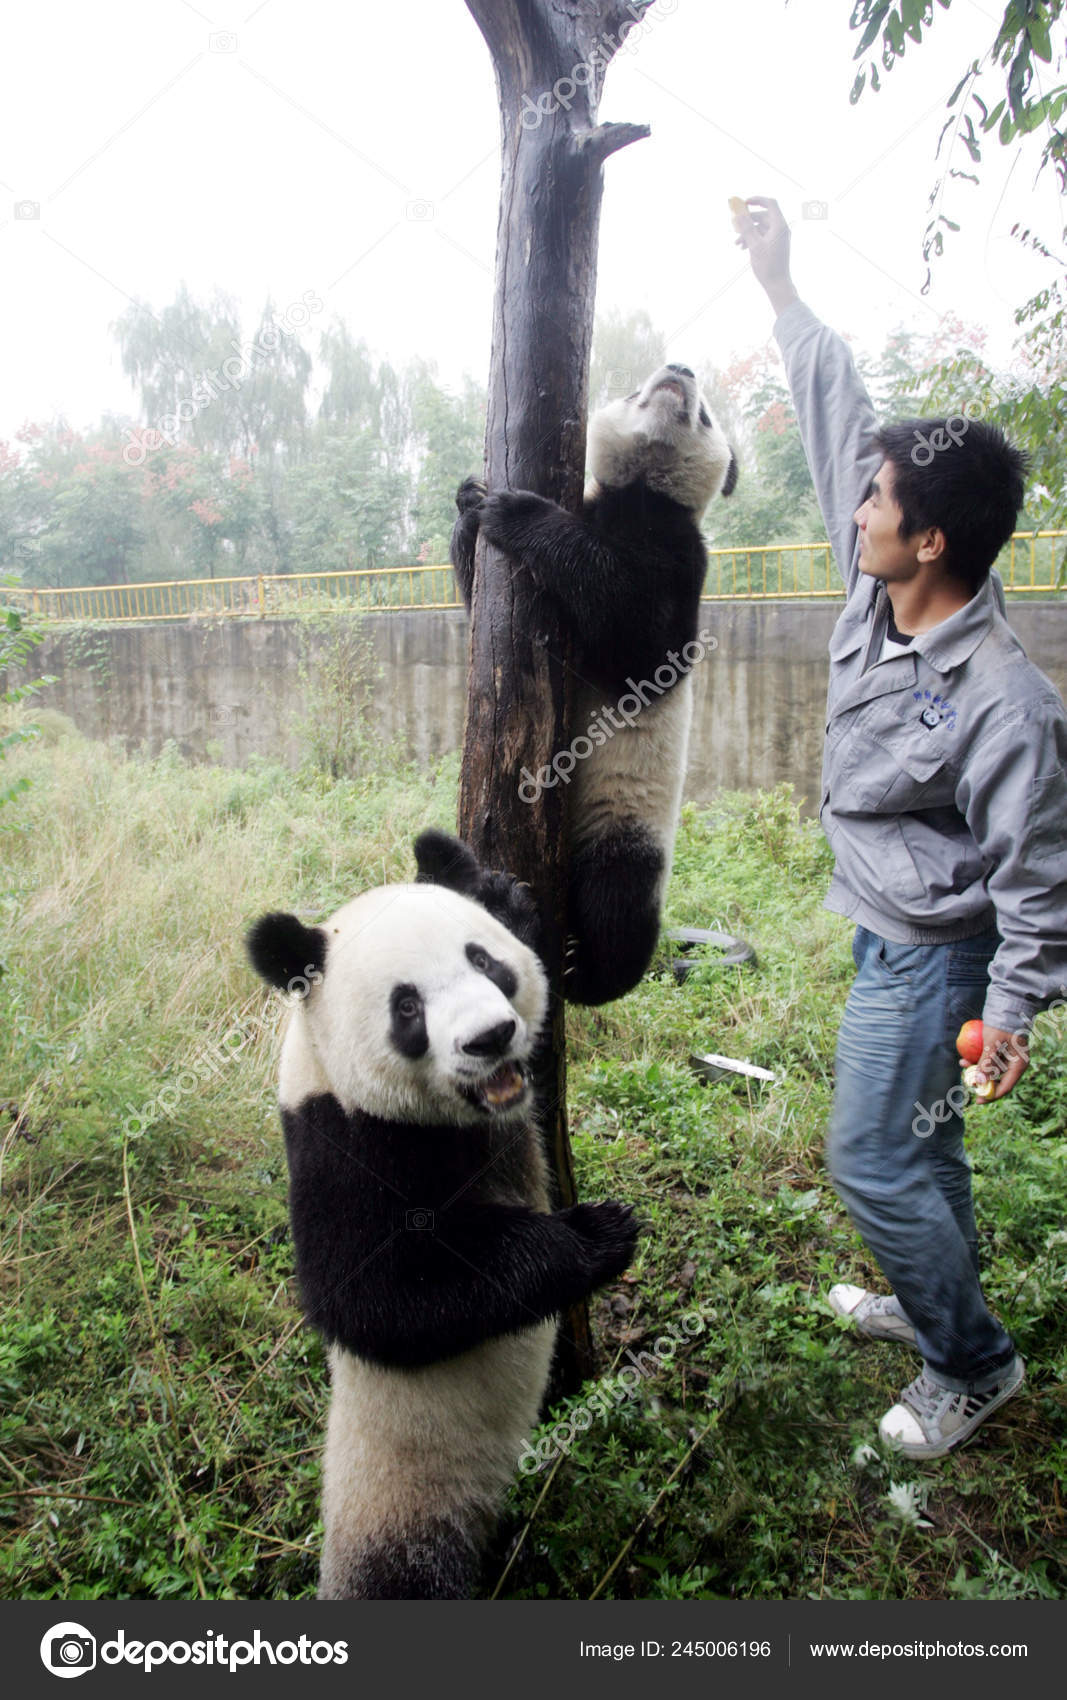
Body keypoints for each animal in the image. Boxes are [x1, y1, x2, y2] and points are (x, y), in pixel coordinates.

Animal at [246, 828, 639, 1600]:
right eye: (407, 1007)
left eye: (482, 961)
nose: (490, 1037)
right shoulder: (339, 1141)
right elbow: (376, 1300)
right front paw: (597, 1235)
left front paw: (495, 891)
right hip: (401, 1507)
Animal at [451, 362, 737, 1004]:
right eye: (635, 390)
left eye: (706, 414)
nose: (680, 369)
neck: (639, 495)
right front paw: (470, 500)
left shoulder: (684, 558)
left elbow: (641, 645)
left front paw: (515, 513)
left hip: (628, 827)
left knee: (614, 911)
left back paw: (551, 941)